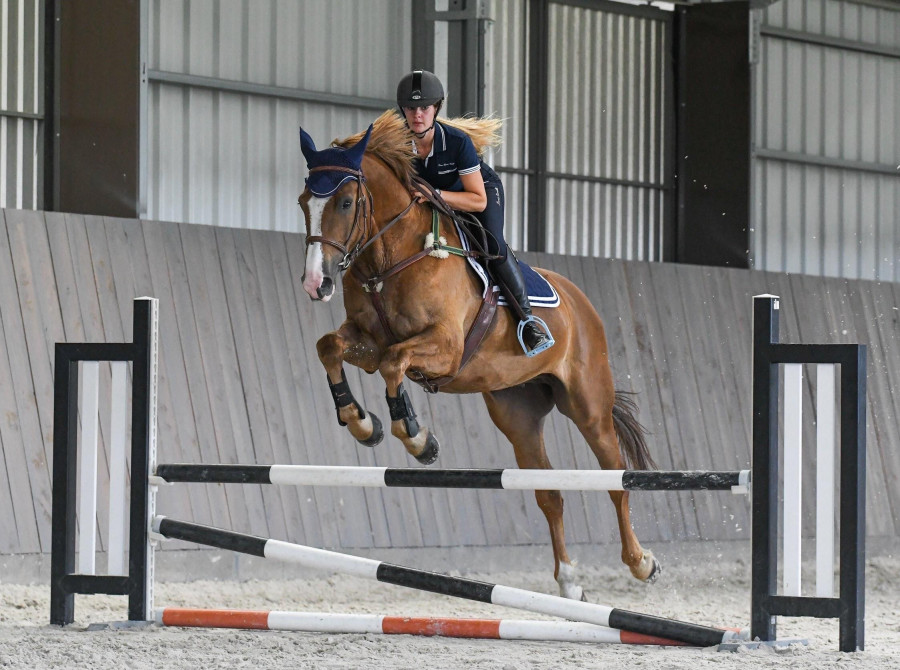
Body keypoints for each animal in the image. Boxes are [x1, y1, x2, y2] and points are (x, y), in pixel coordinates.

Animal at [297, 111, 659, 600]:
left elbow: (394, 364)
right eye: (304, 201)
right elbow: (330, 347)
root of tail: (579, 300)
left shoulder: (444, 348)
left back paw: (641, 562)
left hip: (588, 405)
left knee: (615, 479)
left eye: (347, 202)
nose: (316, 283)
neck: (389, 259)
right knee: (549, 494)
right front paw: (362, 423)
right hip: (517, 412)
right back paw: (568, 583)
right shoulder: (368, 343)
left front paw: (418, 439)